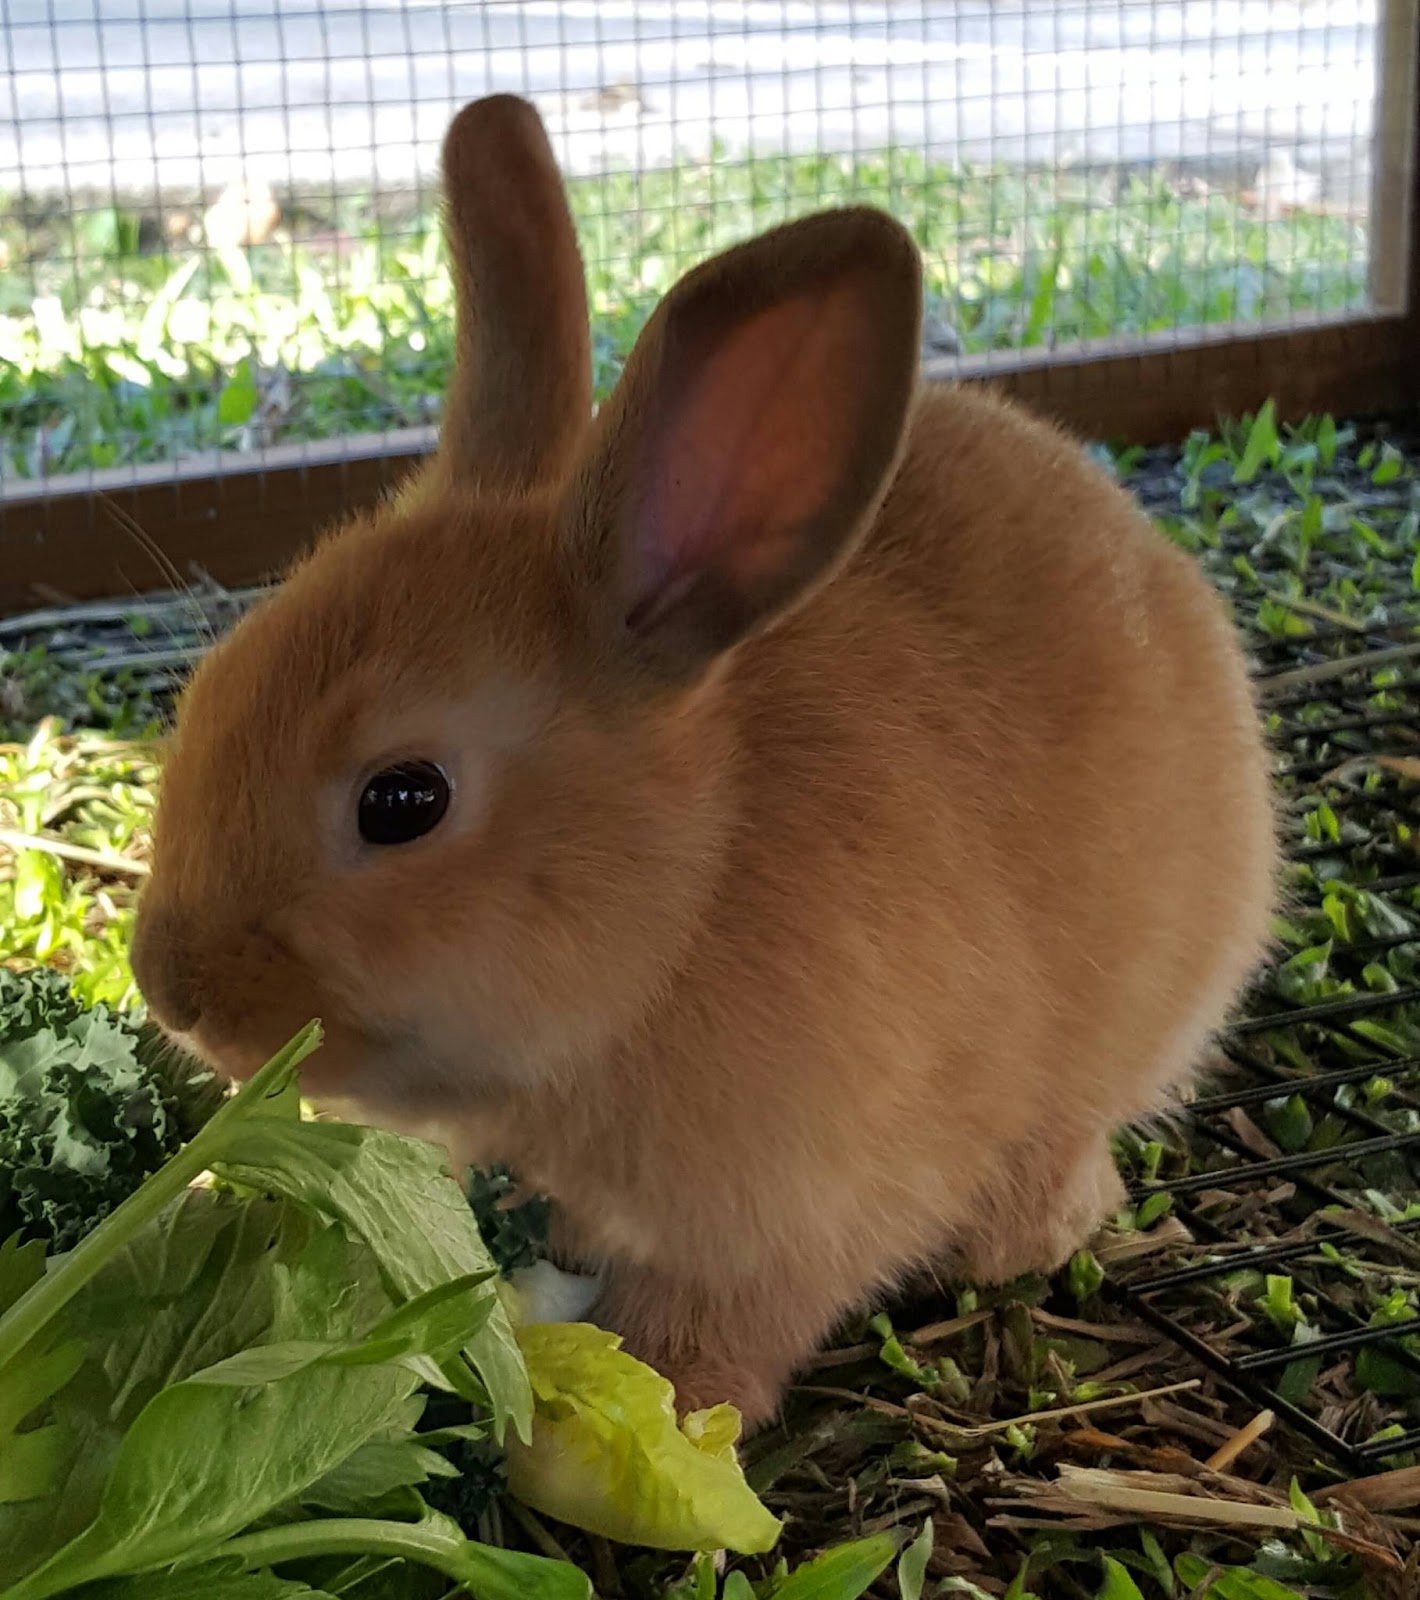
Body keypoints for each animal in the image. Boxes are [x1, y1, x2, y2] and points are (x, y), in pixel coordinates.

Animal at [131, 94, 1277, 1428]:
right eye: (207, 689)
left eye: (403, 799)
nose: (171, 987)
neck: (681, 902)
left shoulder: (797, 1216)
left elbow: (727, 1324)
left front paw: (671, 1402)